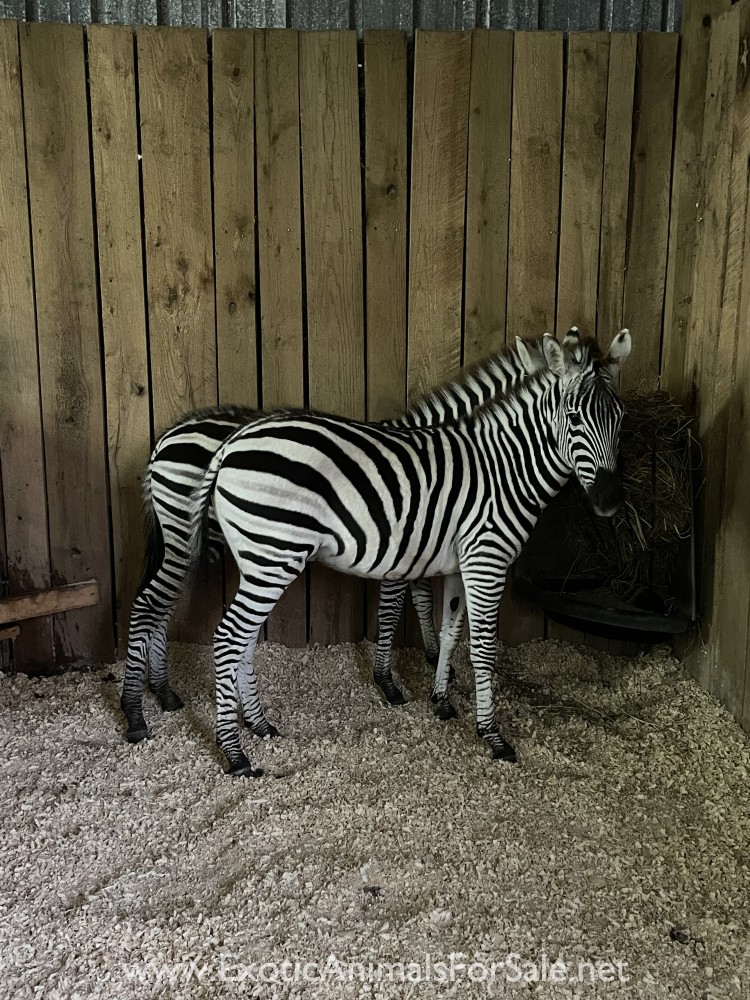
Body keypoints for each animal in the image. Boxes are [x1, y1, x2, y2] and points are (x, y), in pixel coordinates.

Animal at [119, 337, 549, 744]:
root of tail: (167, 436)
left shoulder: (421, 540)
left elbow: (423, 599)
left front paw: (432, 658)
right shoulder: (403, 542)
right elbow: (395, 608)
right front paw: (389, 682)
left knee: (161, 605)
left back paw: (162, 692)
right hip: (189, 533)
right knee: (153, 604)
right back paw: (140, 707)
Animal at [186, 328, 632, 775]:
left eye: (622, 418)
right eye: (573, 418)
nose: (609, 502)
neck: (504, 469)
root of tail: (232, 442)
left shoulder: (457, 563)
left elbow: (450, 631)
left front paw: (441, 701)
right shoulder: (485, 560)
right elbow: (482, 647)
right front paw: (491, 735)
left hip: (259, 560)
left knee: (245, 640)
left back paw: (259, 724)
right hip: (274, 557)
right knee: (229, 638)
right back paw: (235, 754)